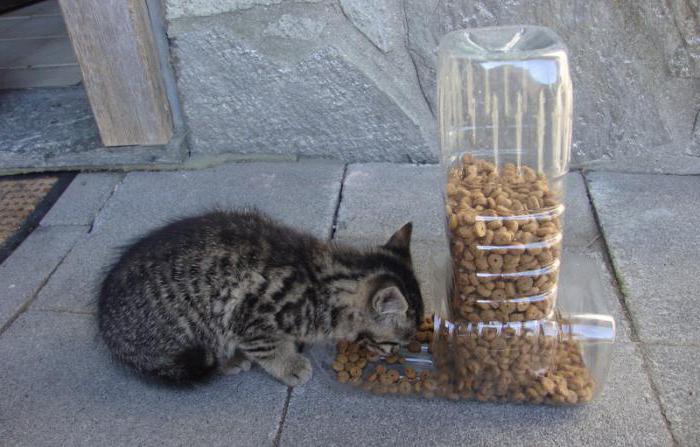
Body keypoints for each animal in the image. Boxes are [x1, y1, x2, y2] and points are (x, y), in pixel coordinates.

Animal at [98, 212, 424, 386]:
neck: (325, 279)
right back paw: (231, 361)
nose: (392, 355)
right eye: (394, 343)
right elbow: (269, 348)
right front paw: (290, 365)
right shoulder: (248, 317)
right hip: (196, 329)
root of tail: (106, 329)